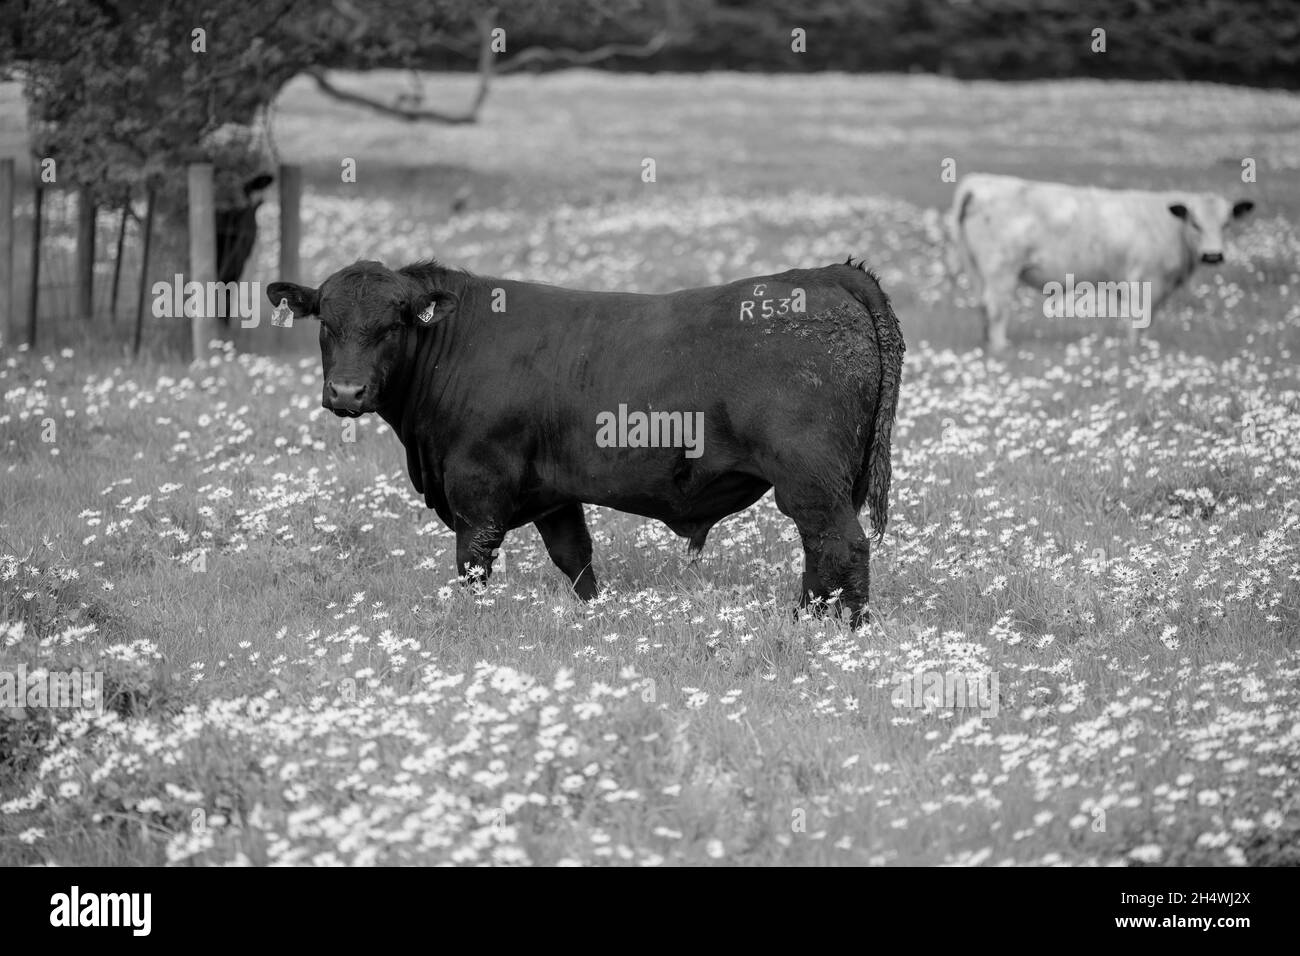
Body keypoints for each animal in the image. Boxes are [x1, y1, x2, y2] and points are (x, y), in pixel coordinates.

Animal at [267, 257, 905, 628]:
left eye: (392, 324)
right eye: (326, 323)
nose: (346, 392)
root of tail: (827, 274)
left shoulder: (476, 486)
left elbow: (473, 563)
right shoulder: (554, 494)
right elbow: (577, 561)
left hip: (809, 478)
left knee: (841, 547)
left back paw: (835, 632)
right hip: (830, 483)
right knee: (821, 552)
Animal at [946, 173, 1254, 351]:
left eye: (1227, 224)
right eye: (1195, 223)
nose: (1213, 255)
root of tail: (977, 184)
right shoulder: (1144, 280)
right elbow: (1138, 319)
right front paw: (1134, 350)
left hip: (976, 269)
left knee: (984, 307)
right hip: (1001, 270)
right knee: (996, 308)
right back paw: (1001, 347)